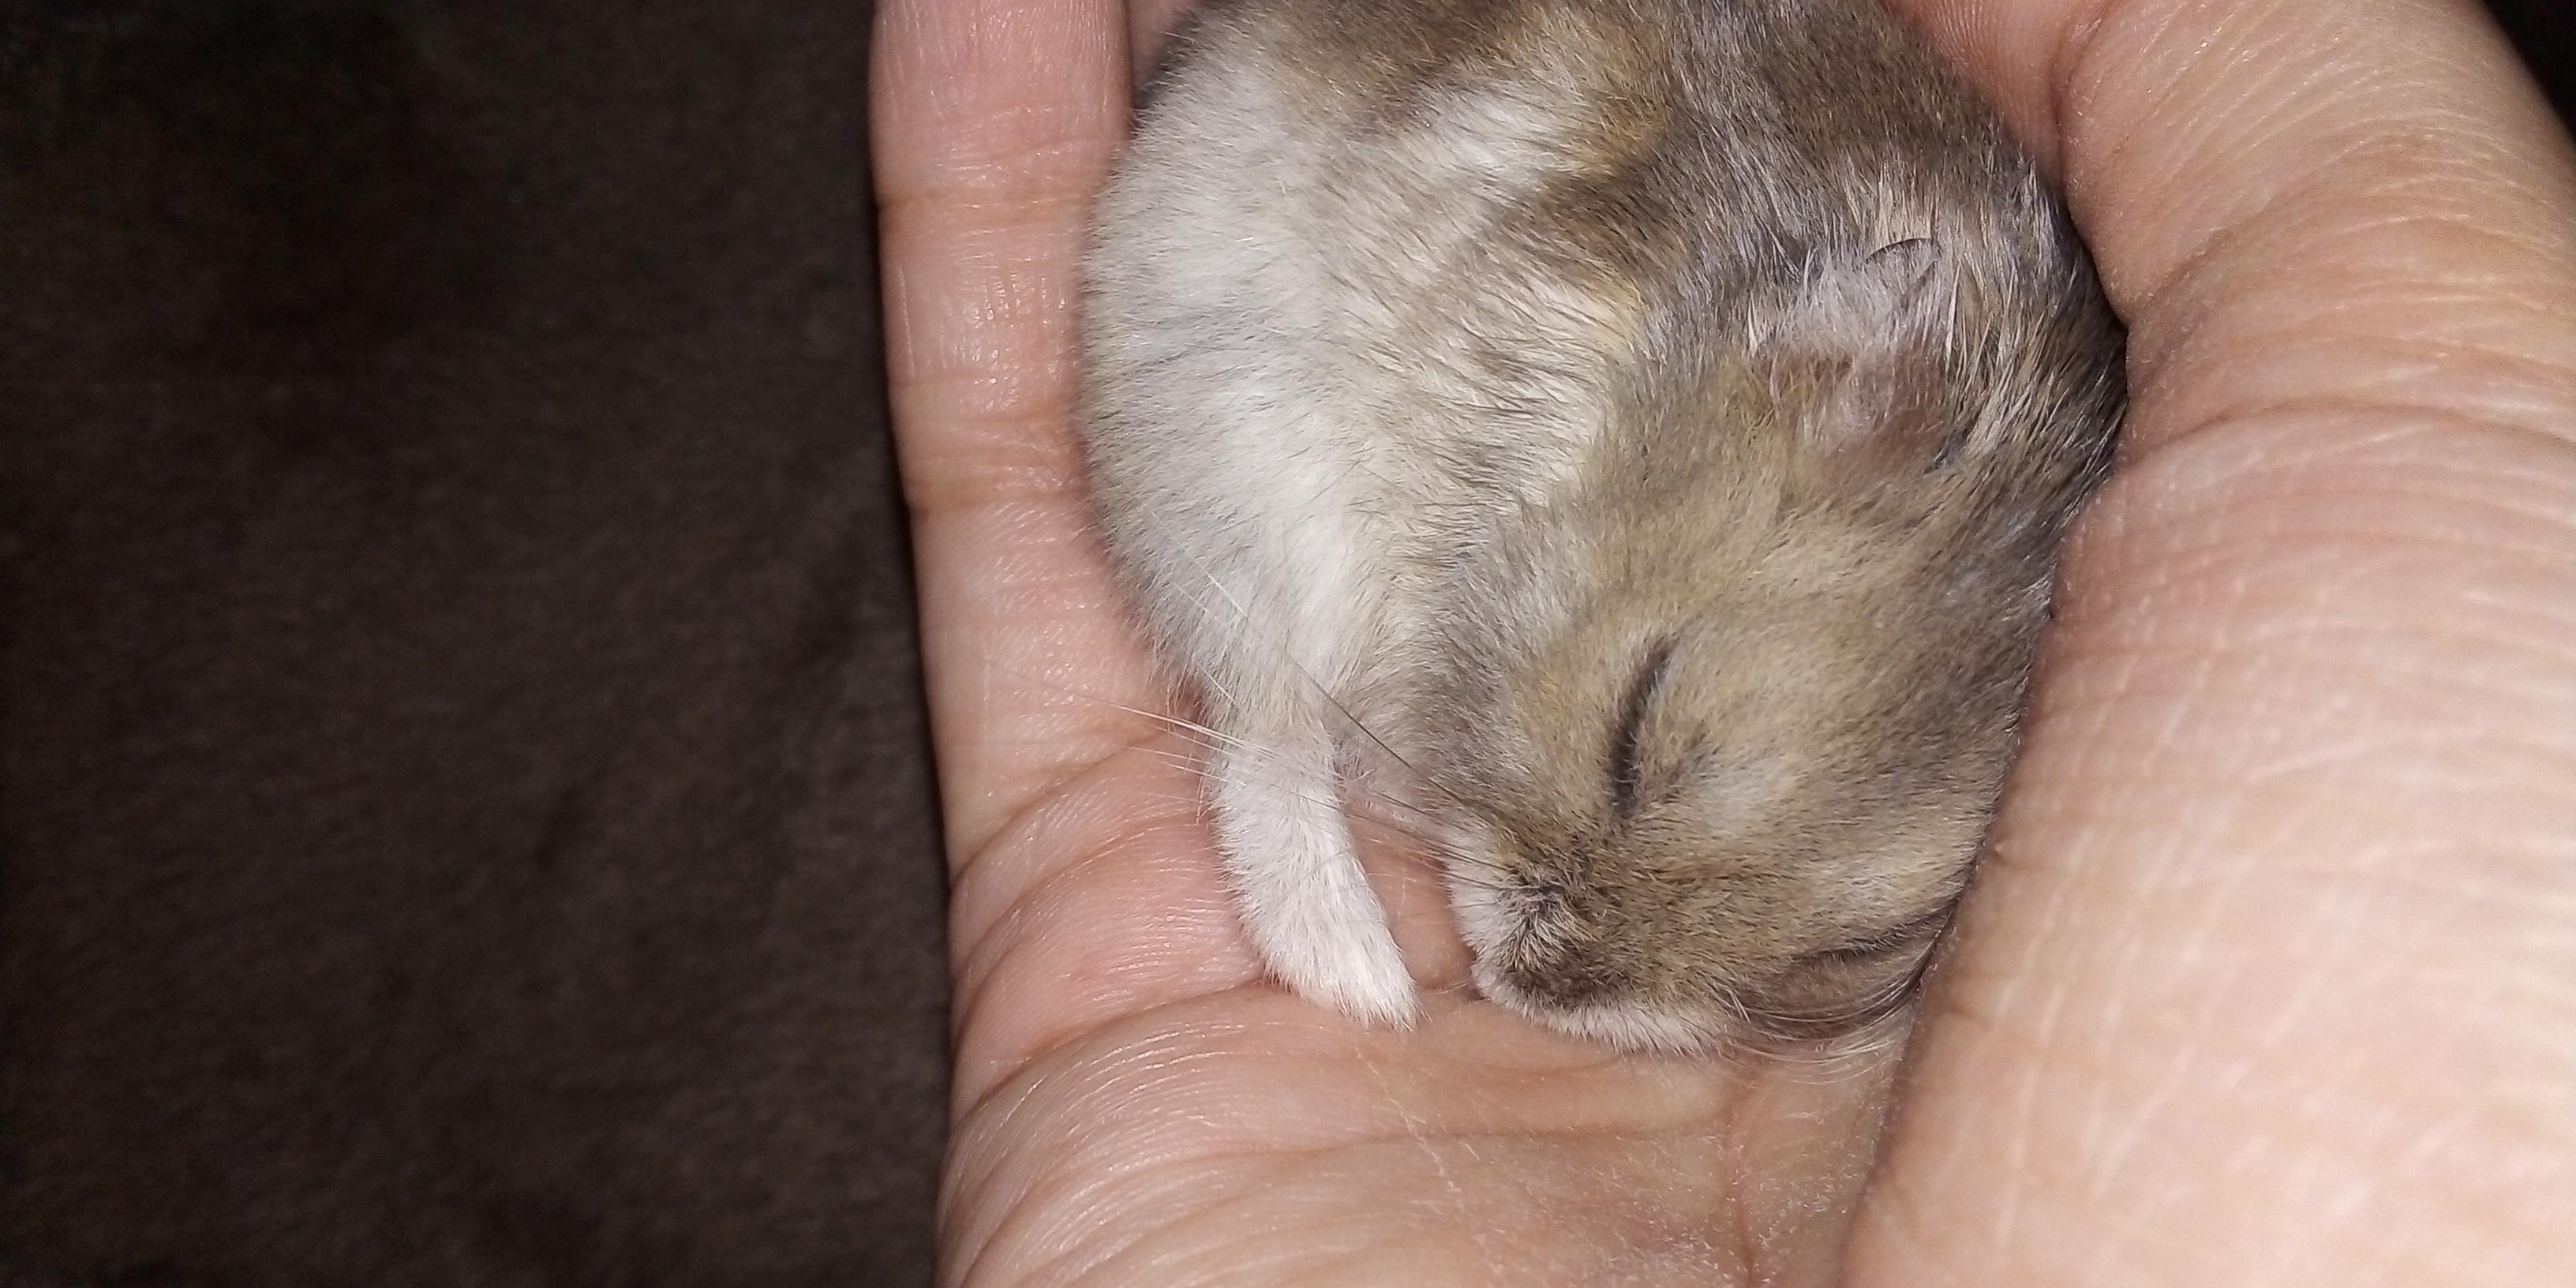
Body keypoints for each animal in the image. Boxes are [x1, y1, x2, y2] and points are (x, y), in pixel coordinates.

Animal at [1079, 0, 2125, 1049]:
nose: (1525, 983)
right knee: (1265, 738)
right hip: (1243, 466)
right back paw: (1370, 986)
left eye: (1853, 949)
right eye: (1635, 735)